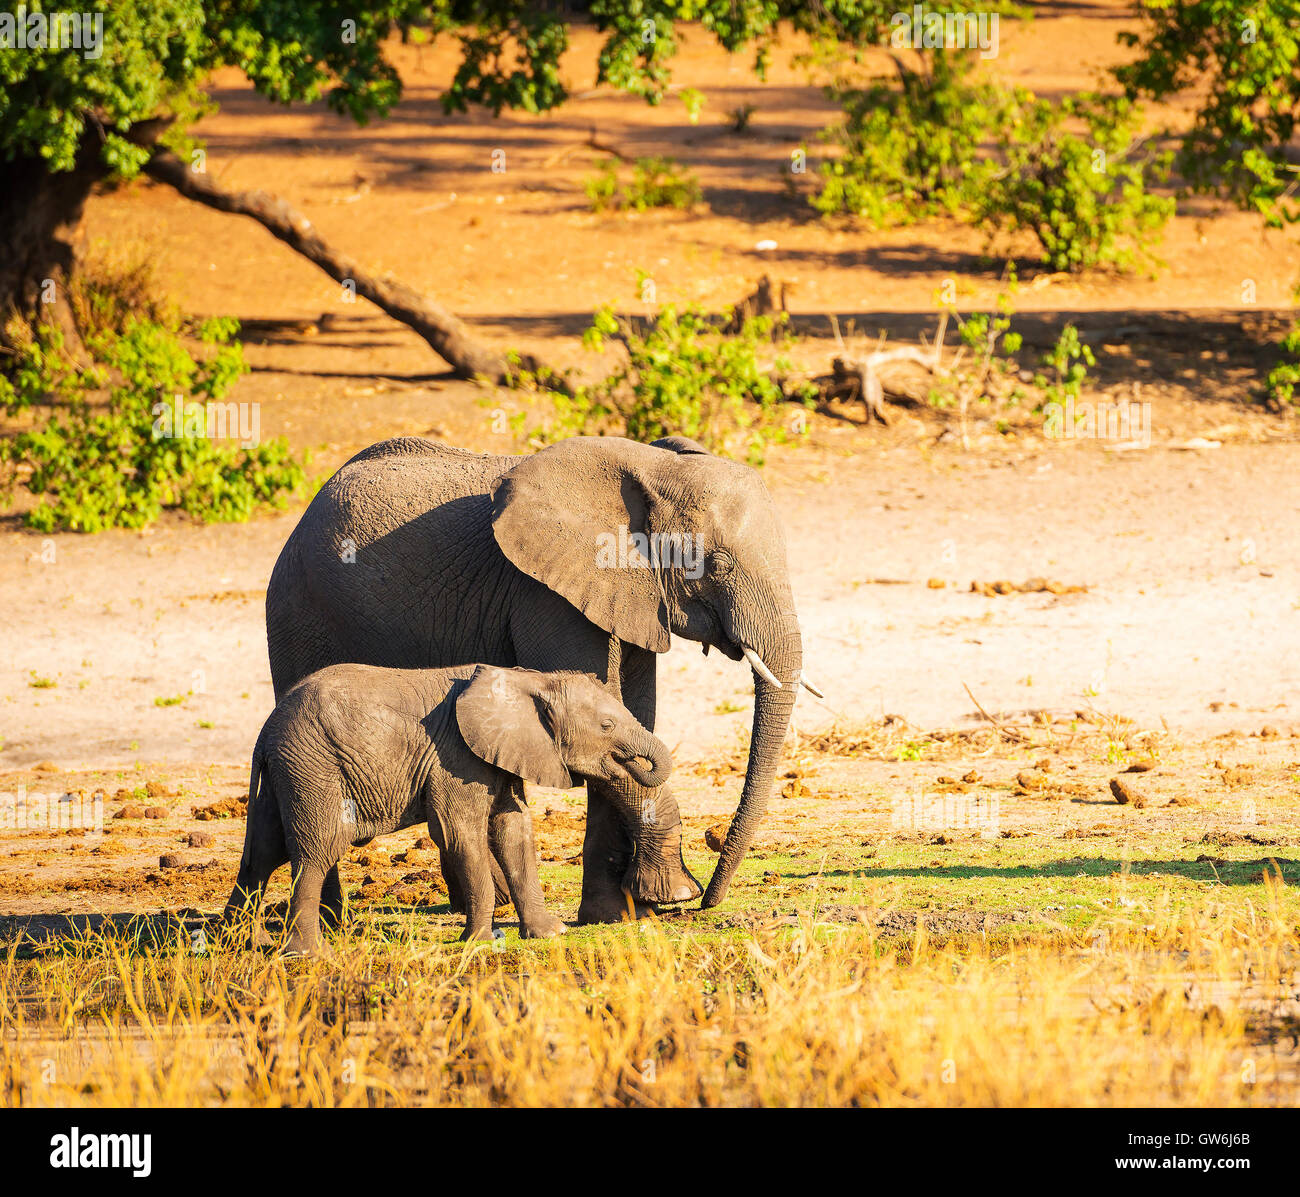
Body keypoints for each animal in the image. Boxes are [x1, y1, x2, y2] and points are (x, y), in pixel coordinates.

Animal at [222, 663, 677, 953]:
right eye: (606, 726)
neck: (529, 679)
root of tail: (265, 732)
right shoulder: (456, 757)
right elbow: (460, 835)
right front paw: (480, 944)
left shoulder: (500, 752)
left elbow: (514, 832)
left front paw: (551, 935)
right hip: (312, 767)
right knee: (316, 849)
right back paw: (308, 954)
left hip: (286, 772)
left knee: (263, 854)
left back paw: (245, 945)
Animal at [265, 434, 814, 924]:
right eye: (716, 563)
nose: (709, 900)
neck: (653, 466)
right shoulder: (543, 591)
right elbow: (600, 707)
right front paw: (672, 895)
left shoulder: (632, 593)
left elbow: (632, 716)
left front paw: (614, 916)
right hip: (298, 613)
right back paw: (333, 923)